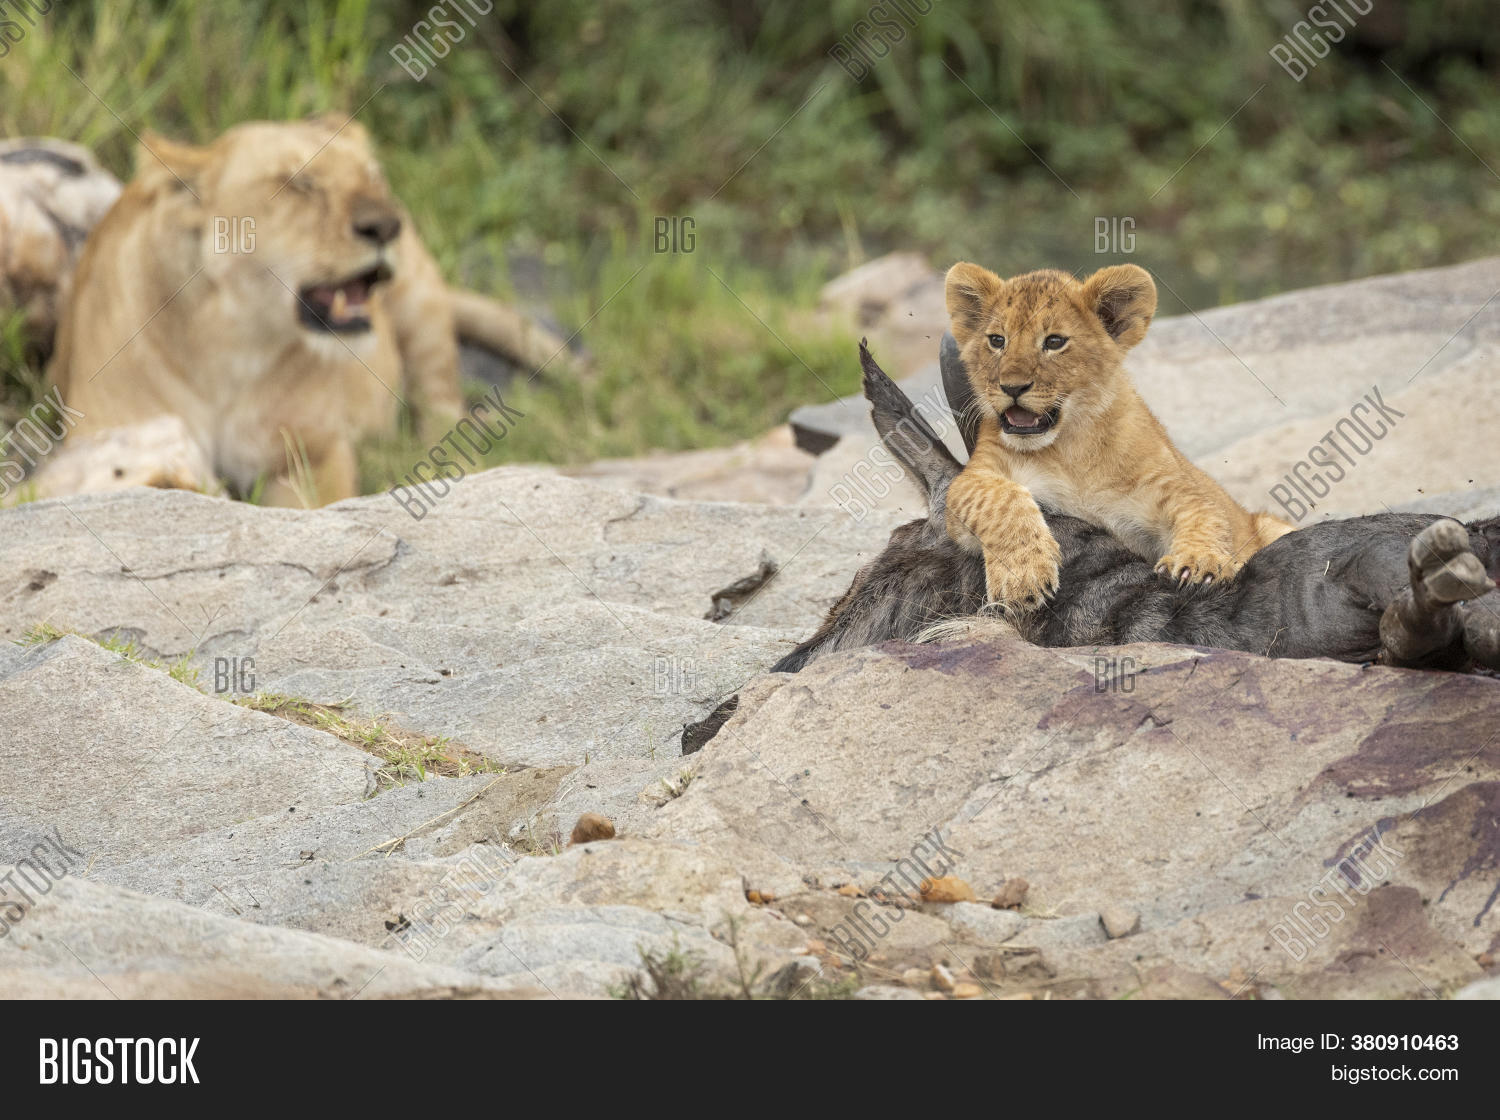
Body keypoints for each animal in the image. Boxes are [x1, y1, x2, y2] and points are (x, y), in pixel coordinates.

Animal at [45, 115, 548, 507]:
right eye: (301, 184)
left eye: (372, 177)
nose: (387, 225)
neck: (230, 348)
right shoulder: (114, 444)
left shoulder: (312, 452)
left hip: (419, 301)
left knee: (441, 404)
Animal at [942, 262, 1292, 609]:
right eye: (997, 340)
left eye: (1054, 342)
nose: (1012, 387)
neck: (1071, 445)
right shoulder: (973, 477)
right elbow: (999, 499)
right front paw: (1021, 576)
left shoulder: (1174, 488)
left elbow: (1204, 514)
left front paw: (1198, 563)